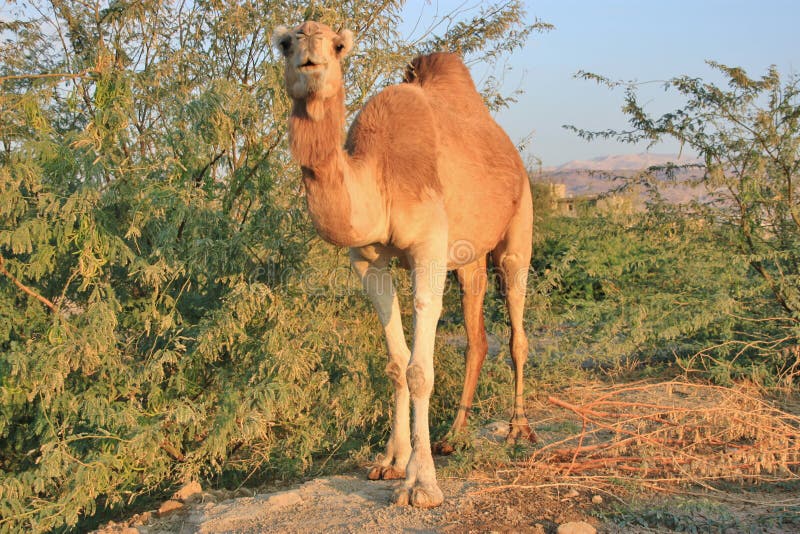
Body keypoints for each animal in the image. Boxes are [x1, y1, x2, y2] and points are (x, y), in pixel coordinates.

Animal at [272, 21, 536, 508]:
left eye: (338, 45)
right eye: (286, 44)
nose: (311, 56)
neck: (379, 175)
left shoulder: (427, 249)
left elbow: (418, 371)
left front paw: (422, 484)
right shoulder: (365, 261)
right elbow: (396, 363)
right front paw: (391, 461)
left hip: (518, 229)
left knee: (517, 332)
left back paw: (518, 429)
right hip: (468, 257)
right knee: (476, 338)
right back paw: (454, 436)